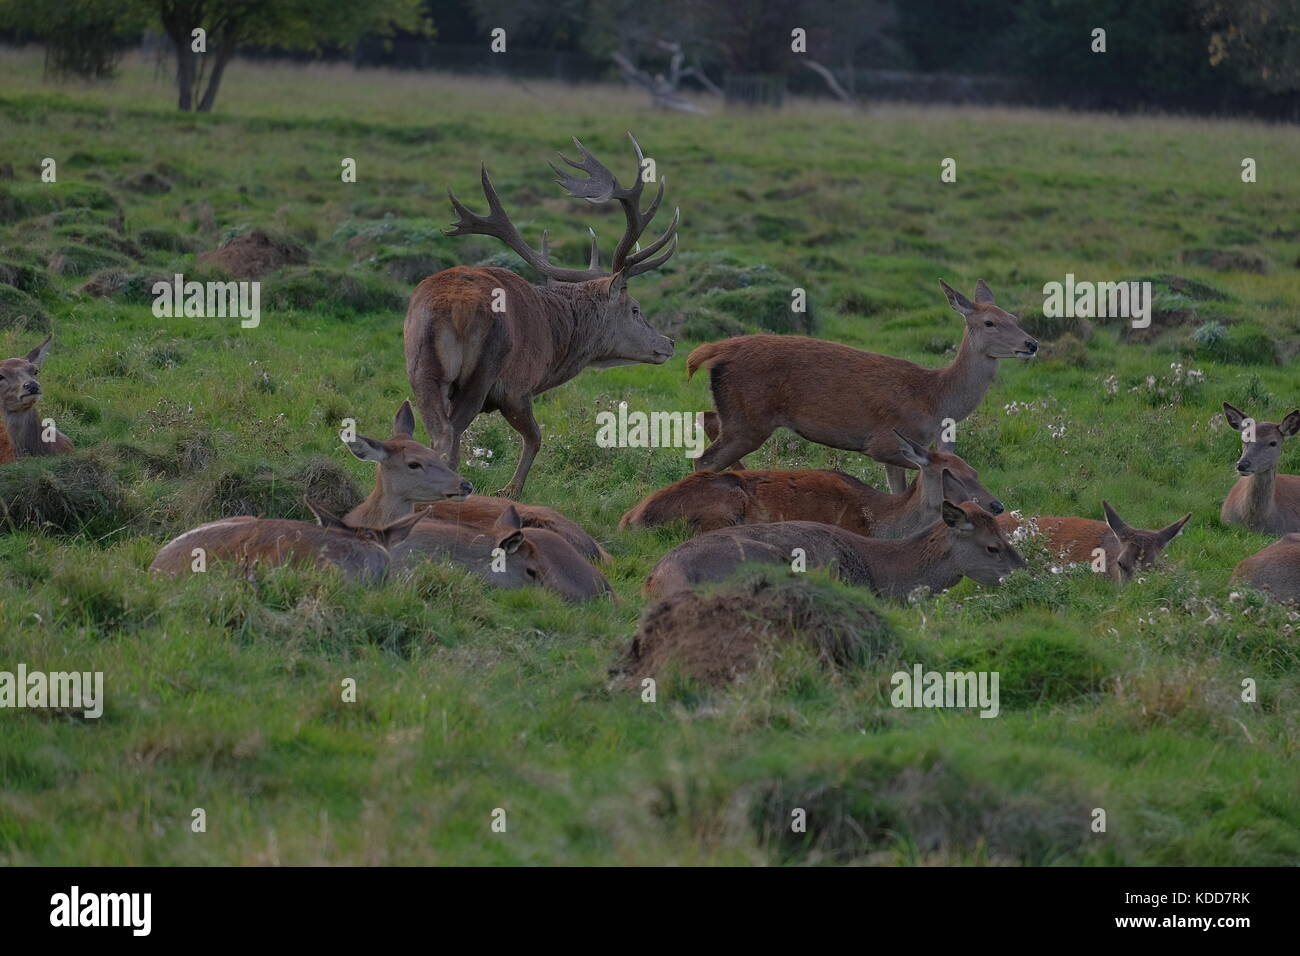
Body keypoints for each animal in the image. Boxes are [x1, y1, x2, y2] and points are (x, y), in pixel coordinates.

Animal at [404, 133, 679, 499]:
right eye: (635, 309)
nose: (668, 342)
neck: (556, 342)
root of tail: (446, 309)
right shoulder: (517, 388)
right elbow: (536, 438)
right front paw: (510, 491)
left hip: (420, 368)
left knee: (433, 437)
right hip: (482, 371)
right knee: (449, 439)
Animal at [620, 429, 1003, 538]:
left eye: (975, 471)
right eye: (951, 473)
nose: (996, 504)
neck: (882, 520)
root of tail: (632, 518)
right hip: (722, 506)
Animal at [687, 280, 1036, 494]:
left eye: (1014, 317)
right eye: (989, 322)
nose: (1031, 343)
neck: (936, 401)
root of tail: (716, 349)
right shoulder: (884, 442)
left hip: (735, 413)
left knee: (707, 421)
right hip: (750, 420)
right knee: (704, 460)